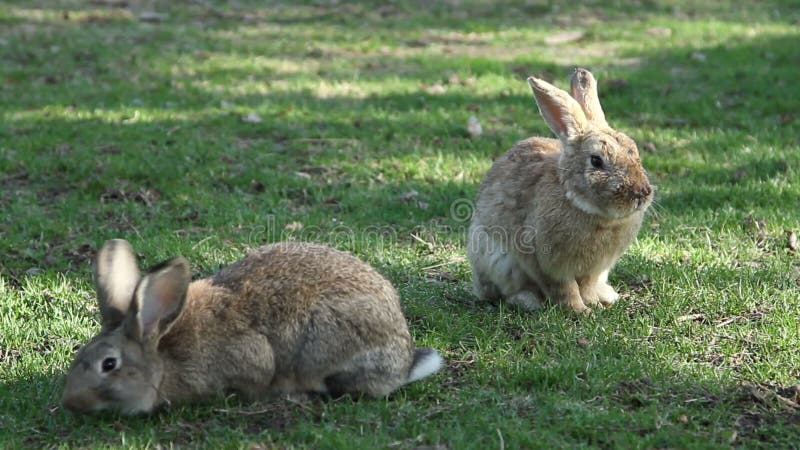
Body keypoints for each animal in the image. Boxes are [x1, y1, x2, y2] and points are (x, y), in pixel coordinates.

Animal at [467, 68, 653, 314]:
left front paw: (594, 303)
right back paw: (527, 300)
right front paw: (580, 311)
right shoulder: (546, 264)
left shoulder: (594, 269)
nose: (642, 194)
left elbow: (587, 285)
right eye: (596, 161)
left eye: (634, 151)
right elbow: (564, 289)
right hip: (495, 259)